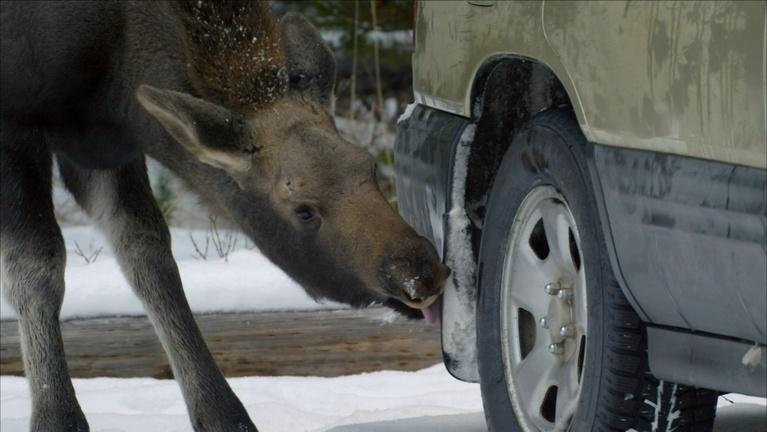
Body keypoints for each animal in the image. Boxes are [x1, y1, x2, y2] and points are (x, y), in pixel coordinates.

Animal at [0, 1, 449, 430]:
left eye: (368, 165)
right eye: (303, 211)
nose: (421, 274)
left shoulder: (106, 147)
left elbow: (150, 259)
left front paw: (223, 414)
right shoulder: (17, 122)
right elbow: (37, 267)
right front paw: (57, 418)